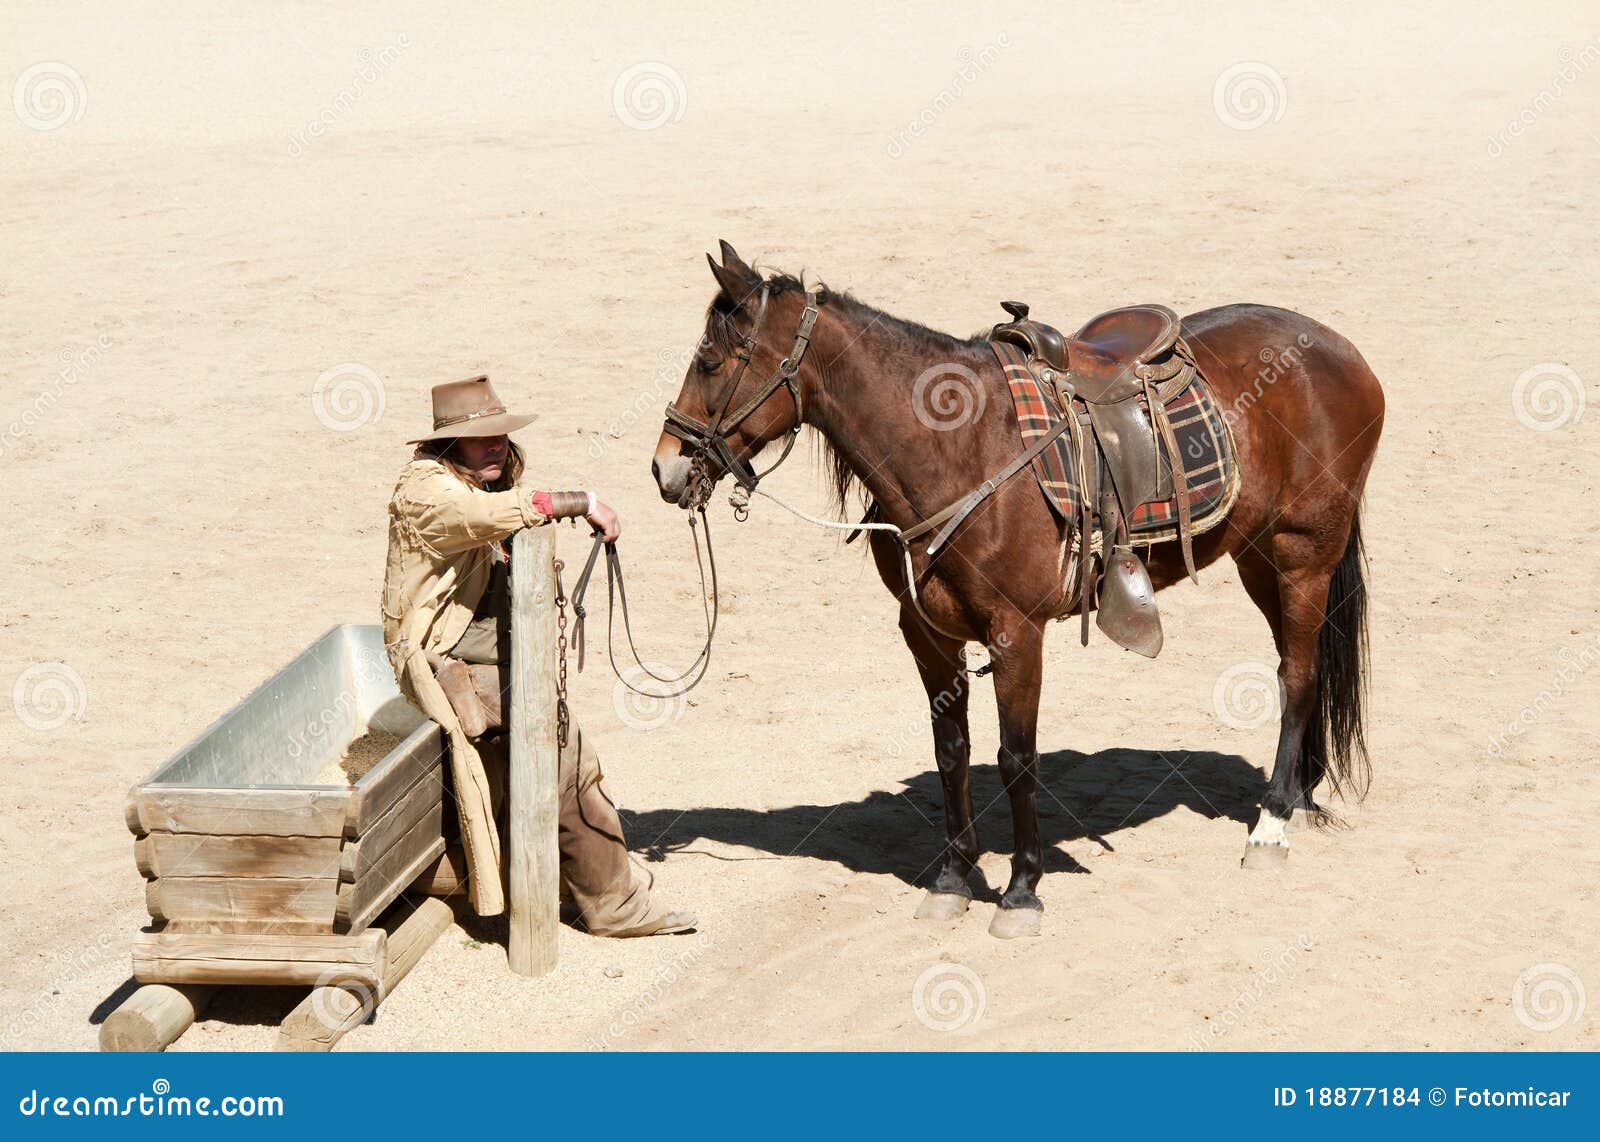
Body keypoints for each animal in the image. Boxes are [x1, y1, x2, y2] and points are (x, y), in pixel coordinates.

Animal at [651, 241, 1384, 938]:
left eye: (711, 361)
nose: (665, 467)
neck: (957, 447)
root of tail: (1341, 350)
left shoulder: (1016, 632)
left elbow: (1017, 759)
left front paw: (1022, 889)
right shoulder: (926, 633)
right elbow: (951, 752)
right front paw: (952, 880)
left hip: (1304, 554)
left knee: (1297, 676)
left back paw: (1272, 823)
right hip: (1259, 557)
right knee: (1304, 670)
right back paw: (1298, 794)